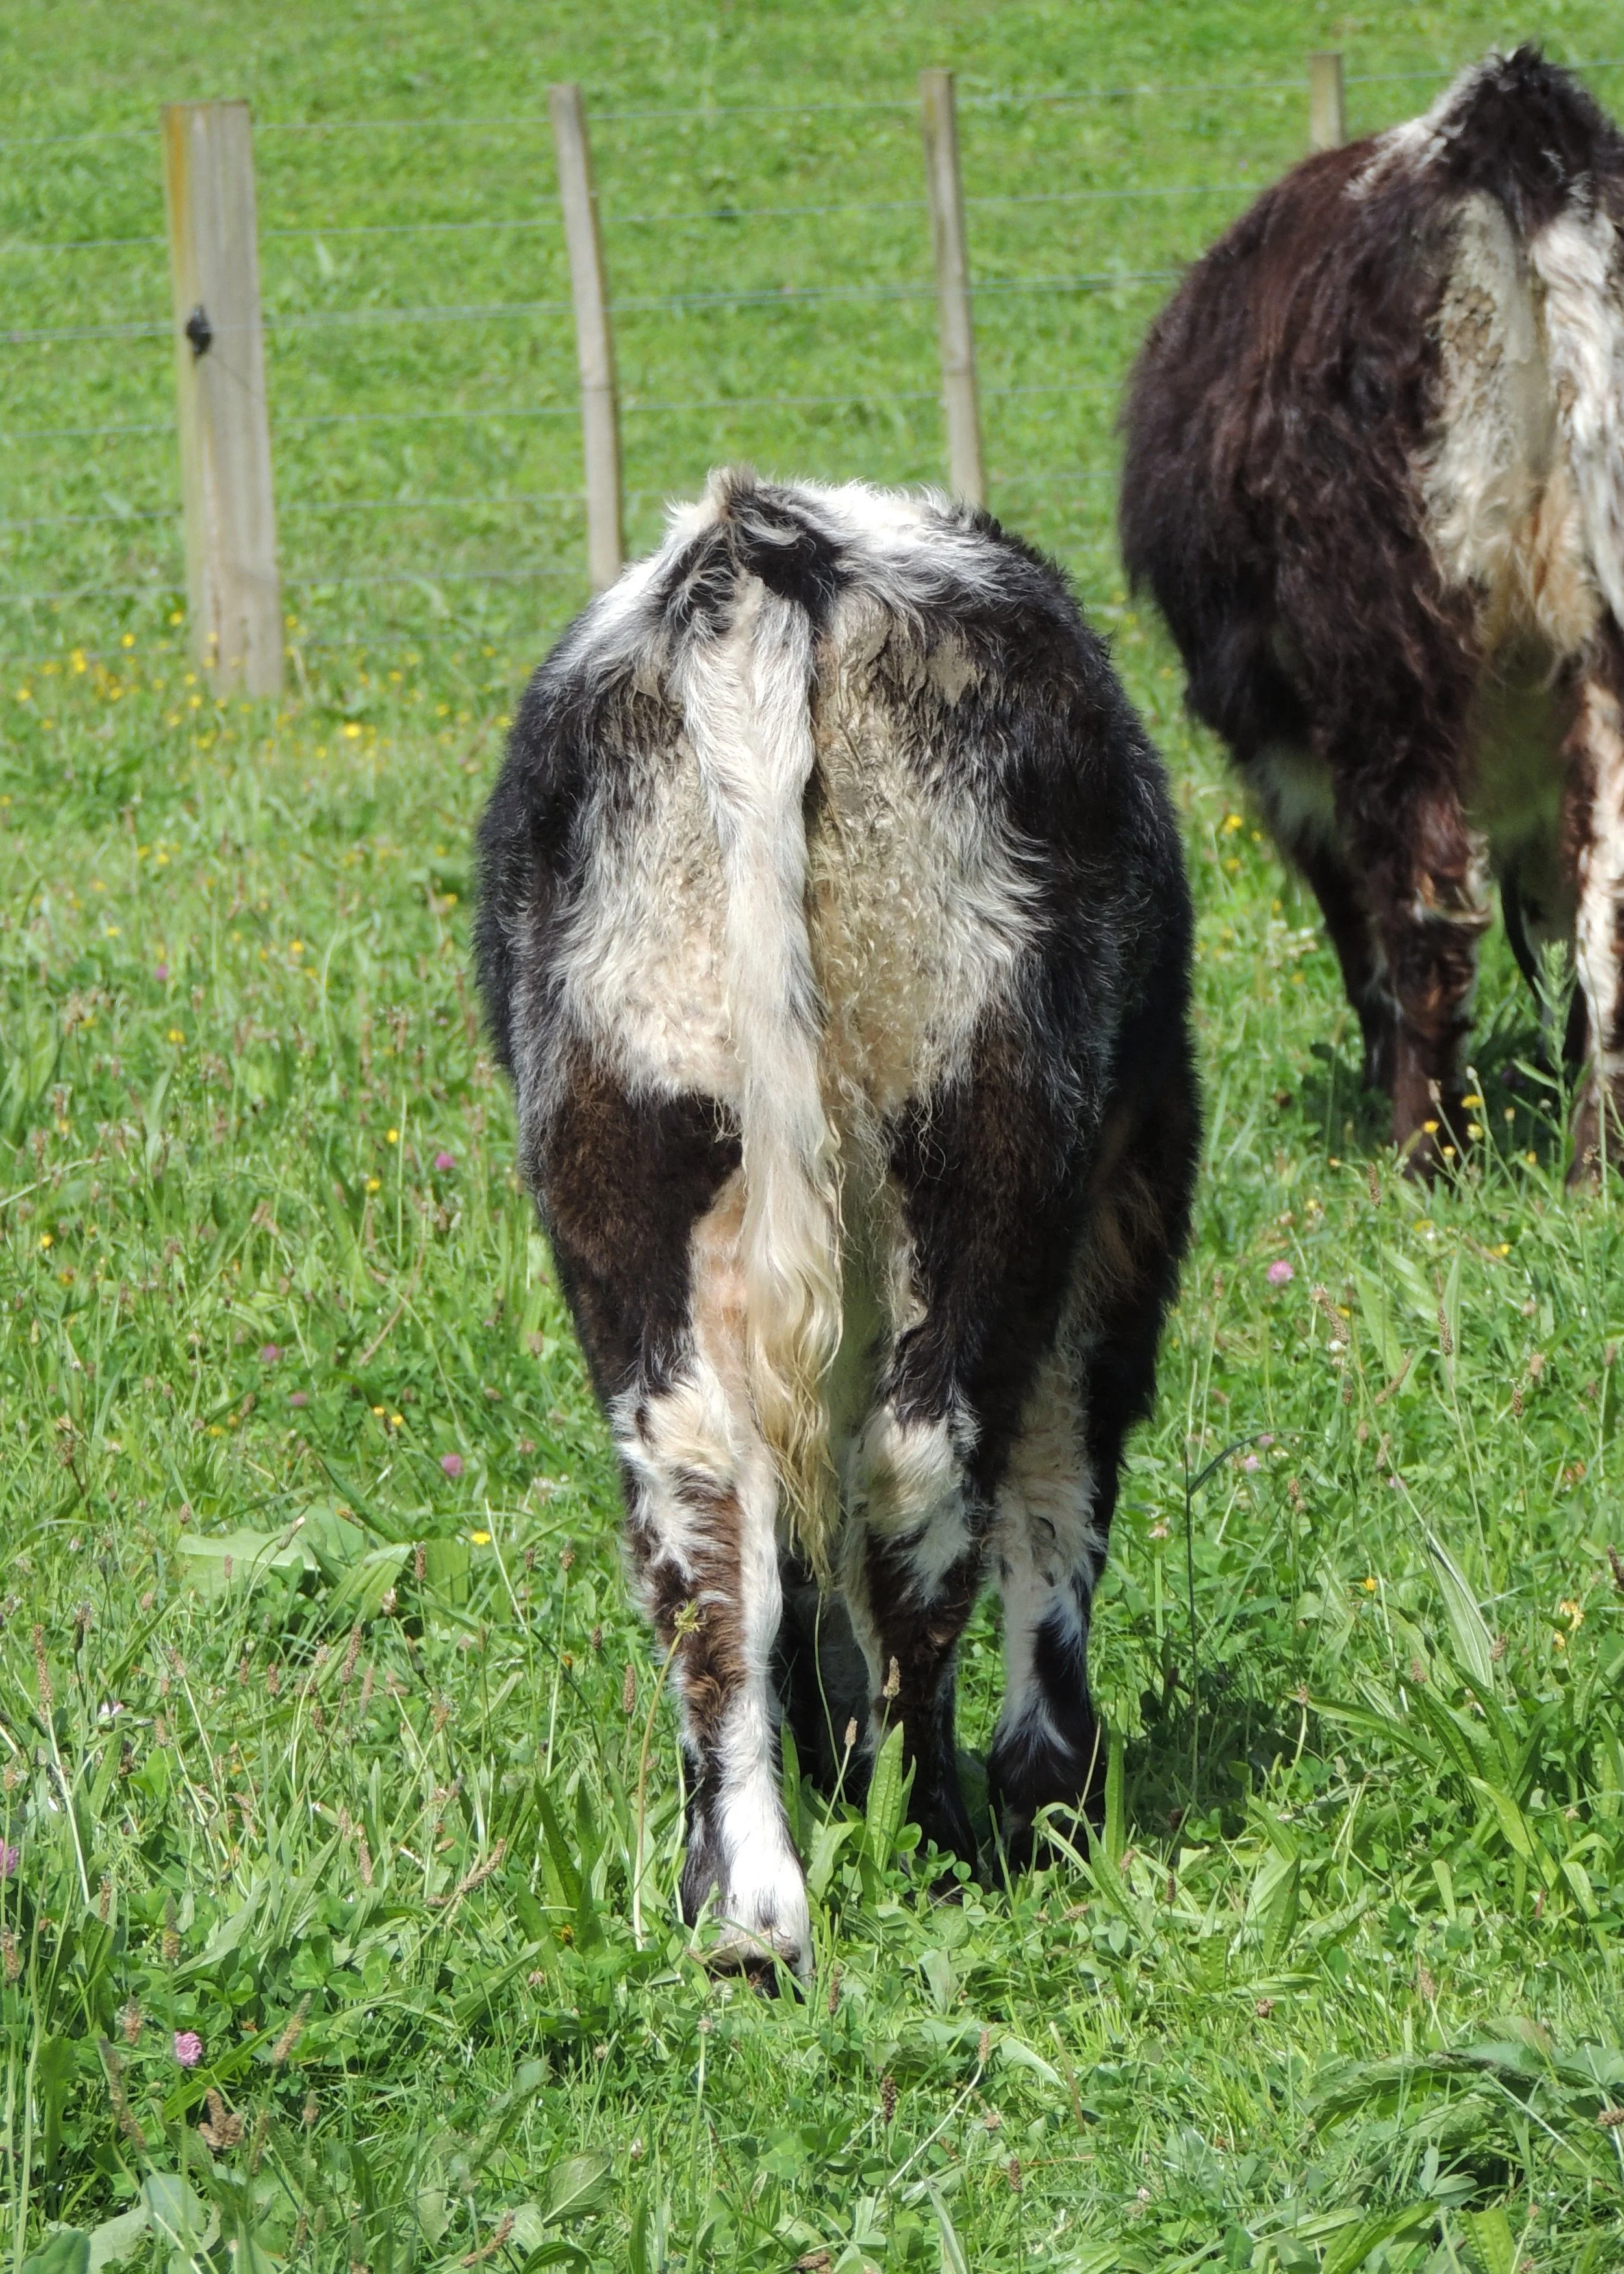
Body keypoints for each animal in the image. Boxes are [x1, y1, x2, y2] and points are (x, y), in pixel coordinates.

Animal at [475, 469, 1198, 1978]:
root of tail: (759, 549)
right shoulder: (1126, 1196)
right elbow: (1062, 1487)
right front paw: (1050, 1793)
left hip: (629, 1167)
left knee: (702, 1525)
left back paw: (747, 1909)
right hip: (988, 1148)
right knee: (923, 1483)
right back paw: (938, 1828)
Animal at [1121, 48, 1624, 1181]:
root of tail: (1512, 117)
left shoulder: (1286, 761)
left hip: (1382, 671)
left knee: (1426, 902)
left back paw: (1421, 1160)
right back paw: (1591, 1171)